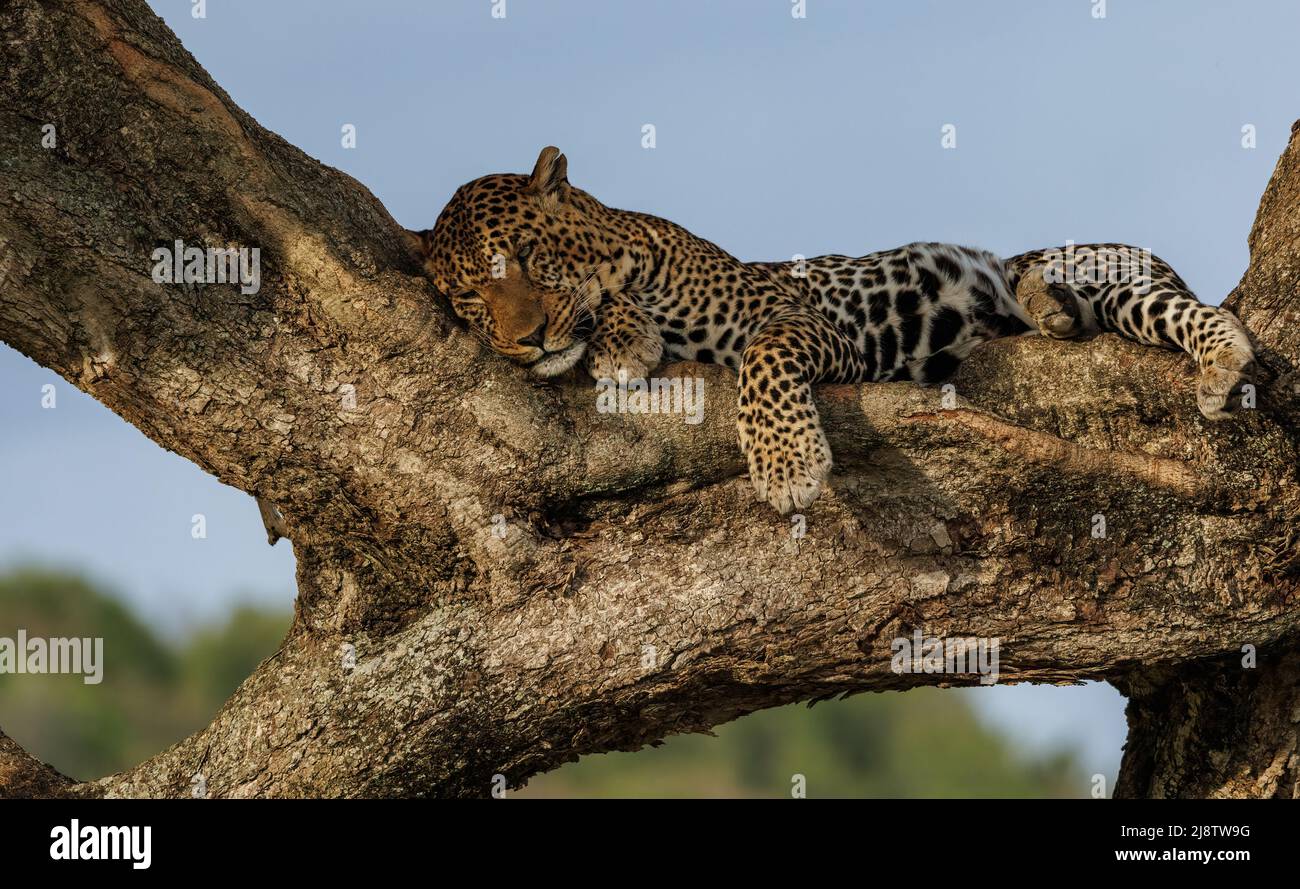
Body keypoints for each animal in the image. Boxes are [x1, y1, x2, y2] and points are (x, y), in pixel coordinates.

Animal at [410, 146, 1257, 515]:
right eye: (471, 298)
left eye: (527, 258)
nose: (525, 339)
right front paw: (620, 337)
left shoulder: (799, 316)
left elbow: (762, 357)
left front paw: (787, 466)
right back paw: (1046, 306)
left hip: (1119, 274)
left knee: (1182, 310)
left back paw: (1219, 359)